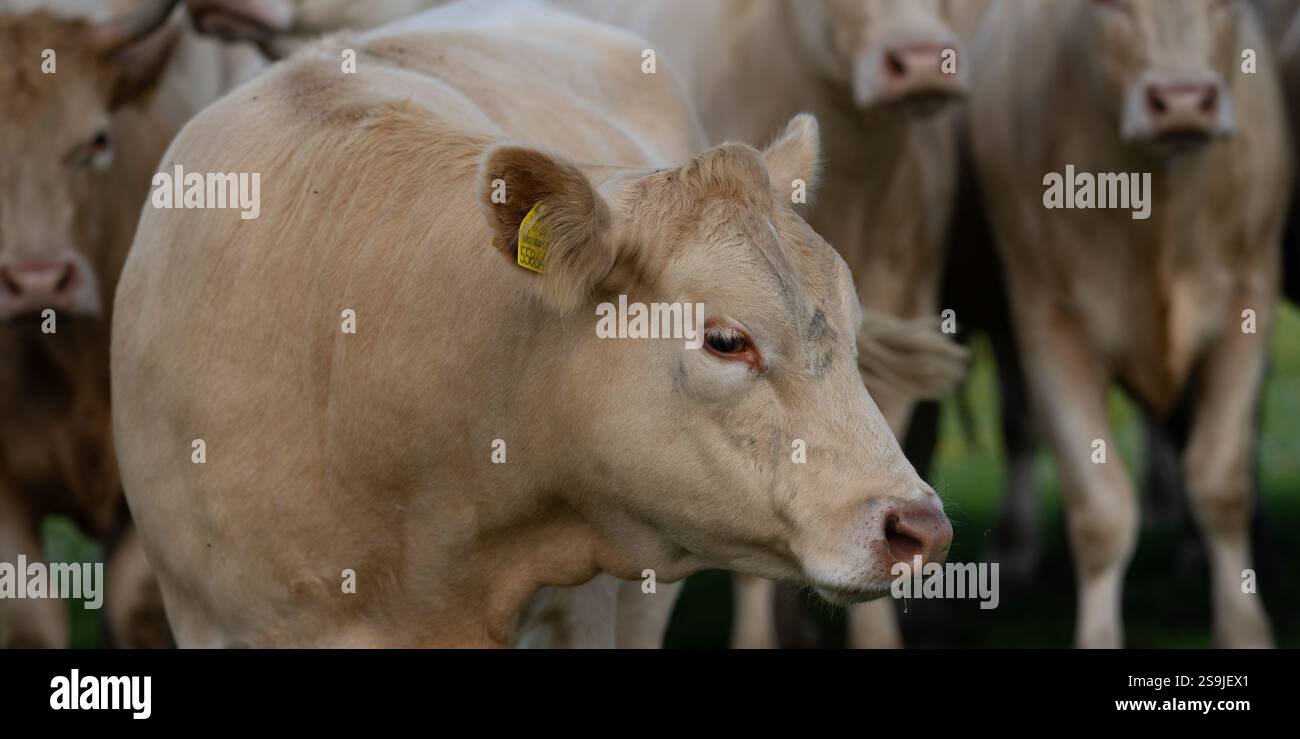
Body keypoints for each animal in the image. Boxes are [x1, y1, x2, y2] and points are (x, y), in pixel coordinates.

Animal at [970, 0, 1289, 648]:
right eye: (1107, 6)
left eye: (1227, 6)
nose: (1184, 100)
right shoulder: (1048, 323)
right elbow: (1101, 511)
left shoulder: (1248, 302)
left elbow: (1221, 482)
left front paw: (1245, 627)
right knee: (1019, 426)